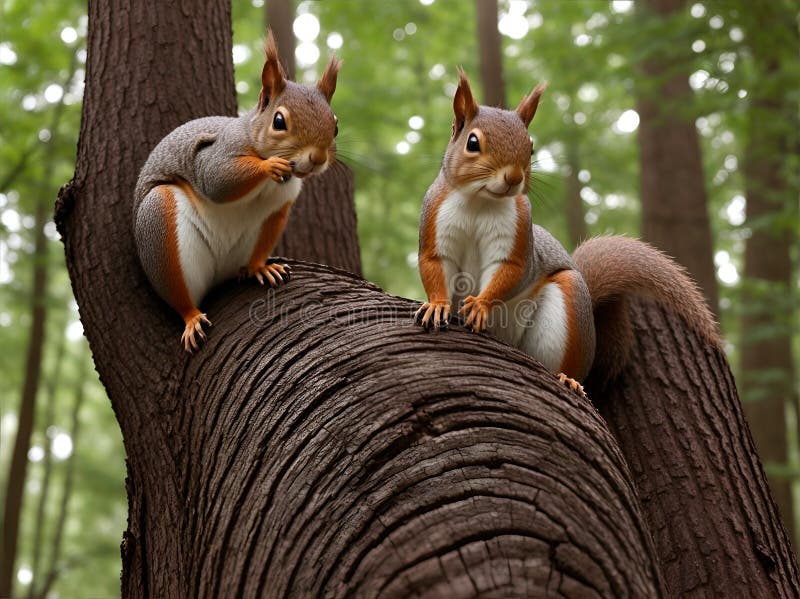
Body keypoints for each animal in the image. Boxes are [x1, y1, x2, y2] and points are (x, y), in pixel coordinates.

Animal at [134, 30, 341, 351]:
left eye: (336, 127)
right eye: (278, 121)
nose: (318, 159)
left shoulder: (281, 204)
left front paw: (263, 267)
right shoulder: (216, 152)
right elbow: (216, 179)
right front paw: (270, 165)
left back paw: (254, 269)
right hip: (159, 224)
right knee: (180, 295)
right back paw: (191, 316)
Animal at [415, 68, 721, 393]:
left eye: (531, 146)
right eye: (472, 143)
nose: (513, 178)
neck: (479, 202)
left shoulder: (519, 231)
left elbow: (512, 269)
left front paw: (481, 304)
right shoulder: (435, 218)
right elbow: (434, 262)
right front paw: (437, 306)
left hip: (566, 307)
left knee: (562, 363)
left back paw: (569, 378)